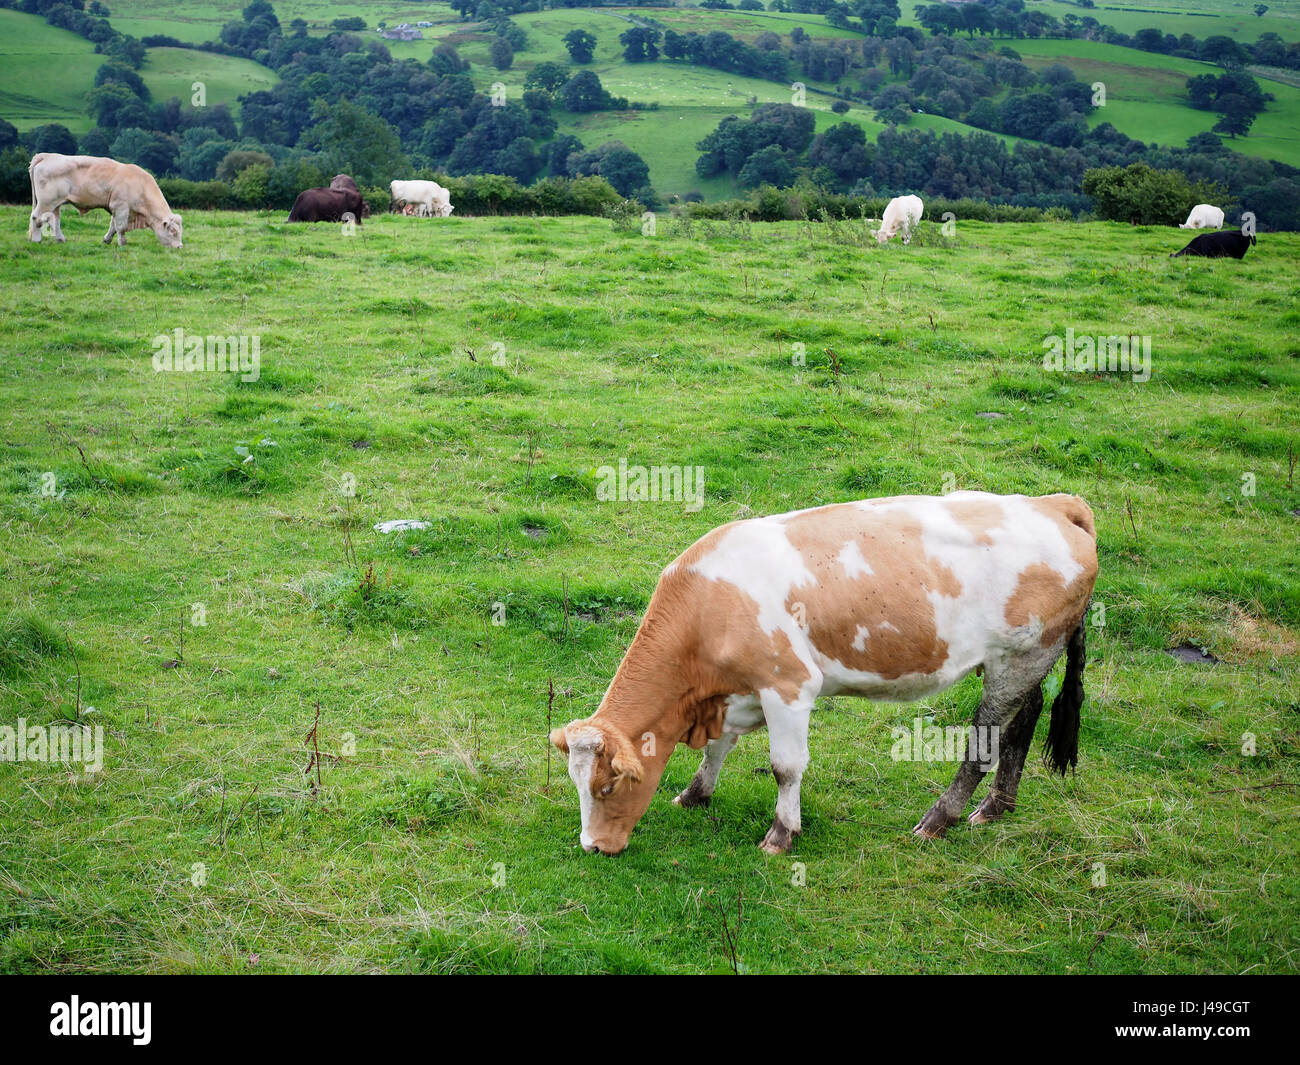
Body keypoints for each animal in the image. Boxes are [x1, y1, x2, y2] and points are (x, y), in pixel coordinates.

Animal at [28, 153, 182, 248]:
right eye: (173, 231)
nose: (179, 247)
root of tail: (47, 156)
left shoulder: (118, 209)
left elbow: (113, 226)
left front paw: (106, 240)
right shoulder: (120, 207)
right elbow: (120, 227)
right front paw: (122, 243)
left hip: (55, 204)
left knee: (53, 220)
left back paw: (60, 239)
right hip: (46, 202)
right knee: (37, 217)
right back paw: (37, 240)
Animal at [550, 492, 1098, 856]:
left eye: (606, 788)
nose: (592, 845)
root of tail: (1052, 503)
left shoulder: (788, 686)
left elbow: (785, 767)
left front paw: (780, 835)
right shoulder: (735, 693)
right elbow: (718, 748)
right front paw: (695, 794)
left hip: (1020, 656)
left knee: (986, 737)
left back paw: (941, 818)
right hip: (1022, 661)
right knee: (1024, 718)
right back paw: (997, 806)